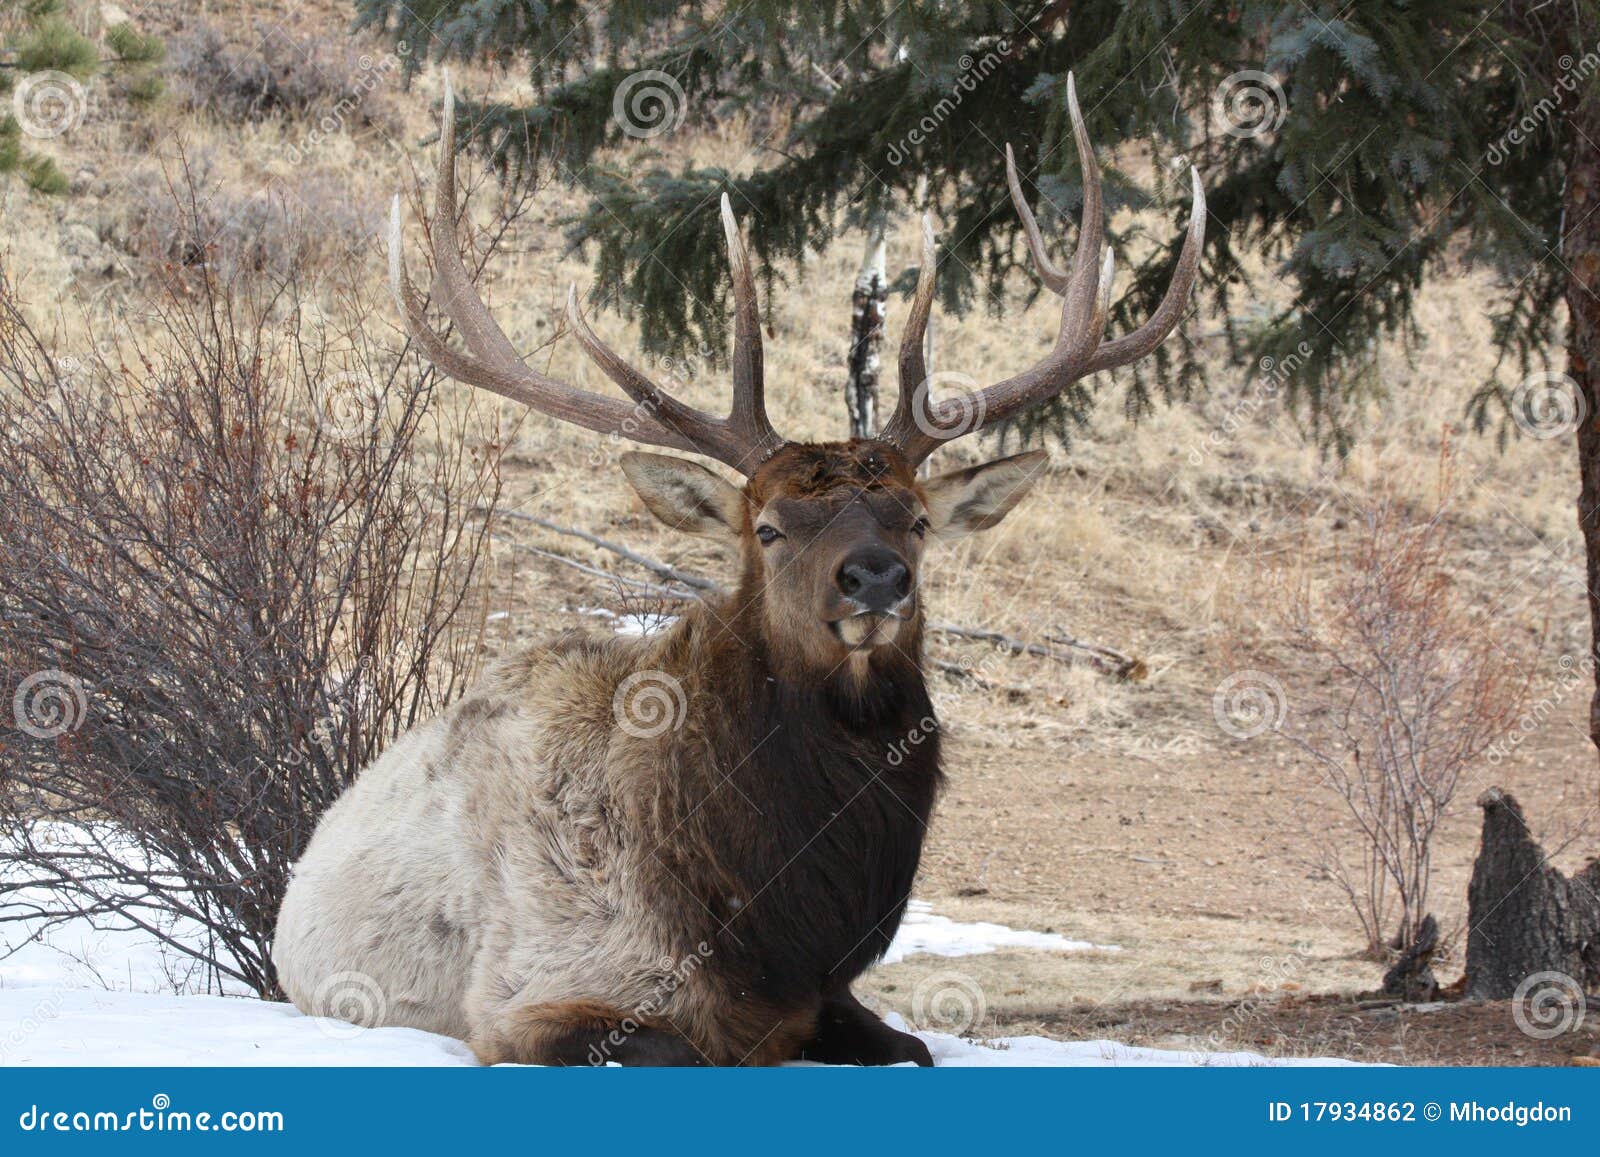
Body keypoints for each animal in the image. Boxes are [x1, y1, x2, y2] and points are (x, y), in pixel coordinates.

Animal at [272, 74, 1204, 1066]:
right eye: (769, 526)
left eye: (917, 519)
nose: (876, 578)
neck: (771, 924)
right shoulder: (532, 995)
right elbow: (674, 1045)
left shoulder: (830, 996)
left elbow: (909, 1047)